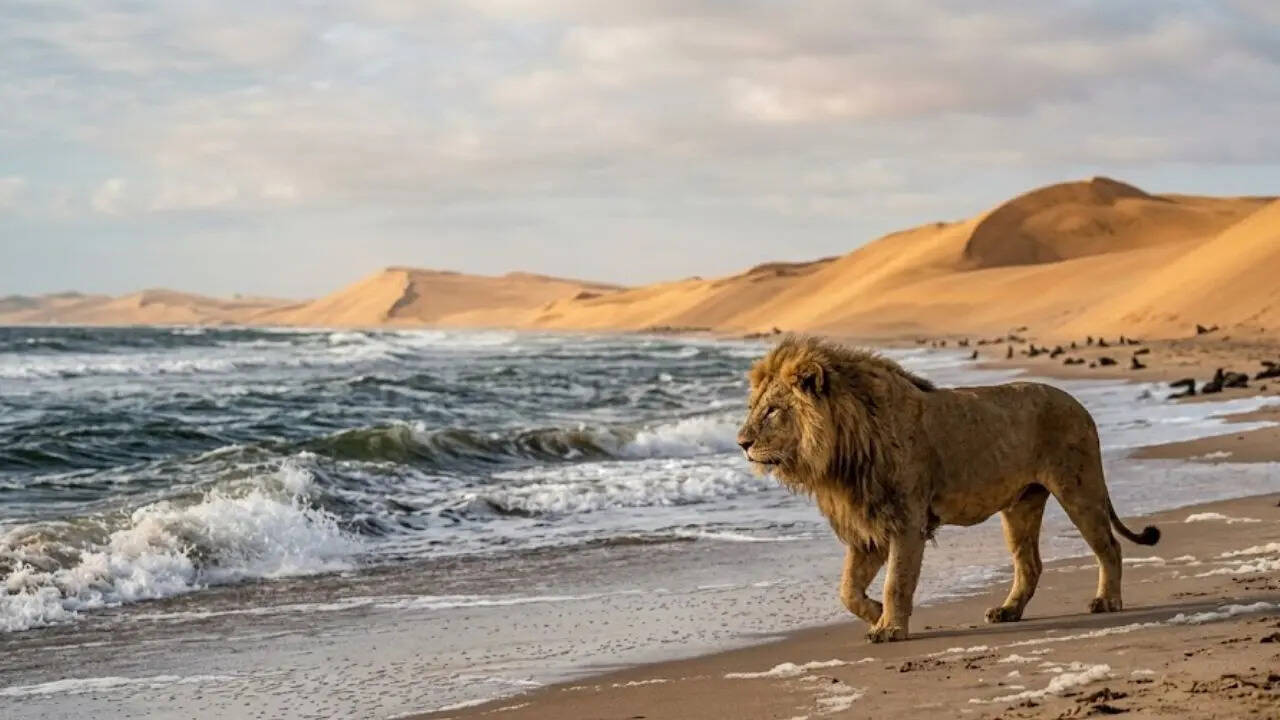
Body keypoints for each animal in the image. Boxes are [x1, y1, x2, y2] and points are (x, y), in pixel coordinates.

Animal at [737, 336, 1159, 643]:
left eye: (773, 410)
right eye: (753, 407)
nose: (741, 442)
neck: (841, 453)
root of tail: (1080, 405)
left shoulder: (906, 521)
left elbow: (896, 582)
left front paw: (891, 627)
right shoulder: (867, 527)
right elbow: (848, 590)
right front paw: (877, 615)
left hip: (1079, 488)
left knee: (1109, 546)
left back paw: (1107, 600)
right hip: (1021, 505)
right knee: (1030, 564)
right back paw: (1007, 611)